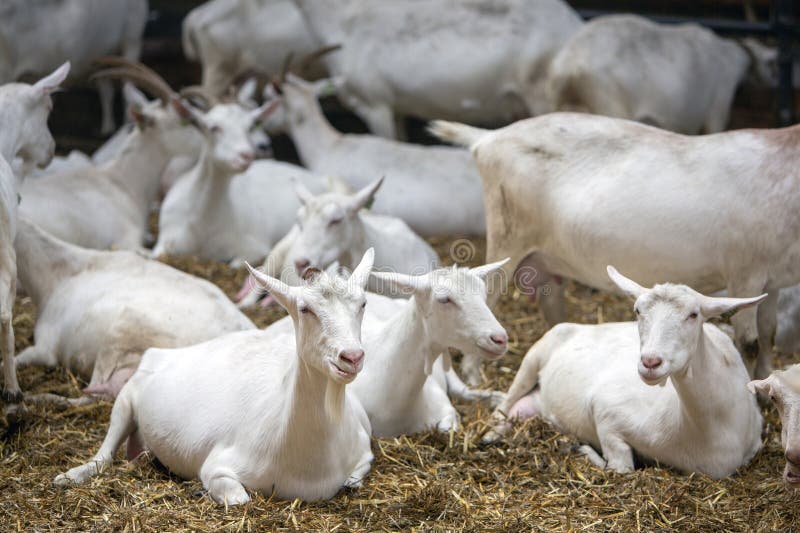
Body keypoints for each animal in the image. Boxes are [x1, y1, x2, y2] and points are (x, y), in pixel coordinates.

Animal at [54, 250, 376, 504]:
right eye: (305, 309)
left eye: (363, 304)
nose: (352, 357)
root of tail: (162, 353)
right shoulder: (219, 465)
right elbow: (238, 498)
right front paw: (201, 490)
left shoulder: (364, 448)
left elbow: (357, 474)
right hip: (126, 396)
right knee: (105, 453)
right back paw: (70, 475)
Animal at [430, 113, 800, 380]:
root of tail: (488, 138)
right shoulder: (745, 272)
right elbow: (749, 343)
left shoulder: (770, 281)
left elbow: (769, 333)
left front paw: (767, 381)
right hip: (507, 235)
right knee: (488, 296)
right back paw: (474, 377)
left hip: (543, 257)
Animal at [484, 267, 765, 479]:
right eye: (638, 311)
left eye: (694, 315)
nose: (650, 362)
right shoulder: (607, 410)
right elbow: (621, 467)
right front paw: (580, 448)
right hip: (535, 355)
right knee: (506, 403)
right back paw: (490, 436)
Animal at [547, 15, 779, 134]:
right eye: (770, 65)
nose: (772, 84)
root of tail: (572, 63)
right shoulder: (717, 108)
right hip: (611, 105)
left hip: (560, 101)